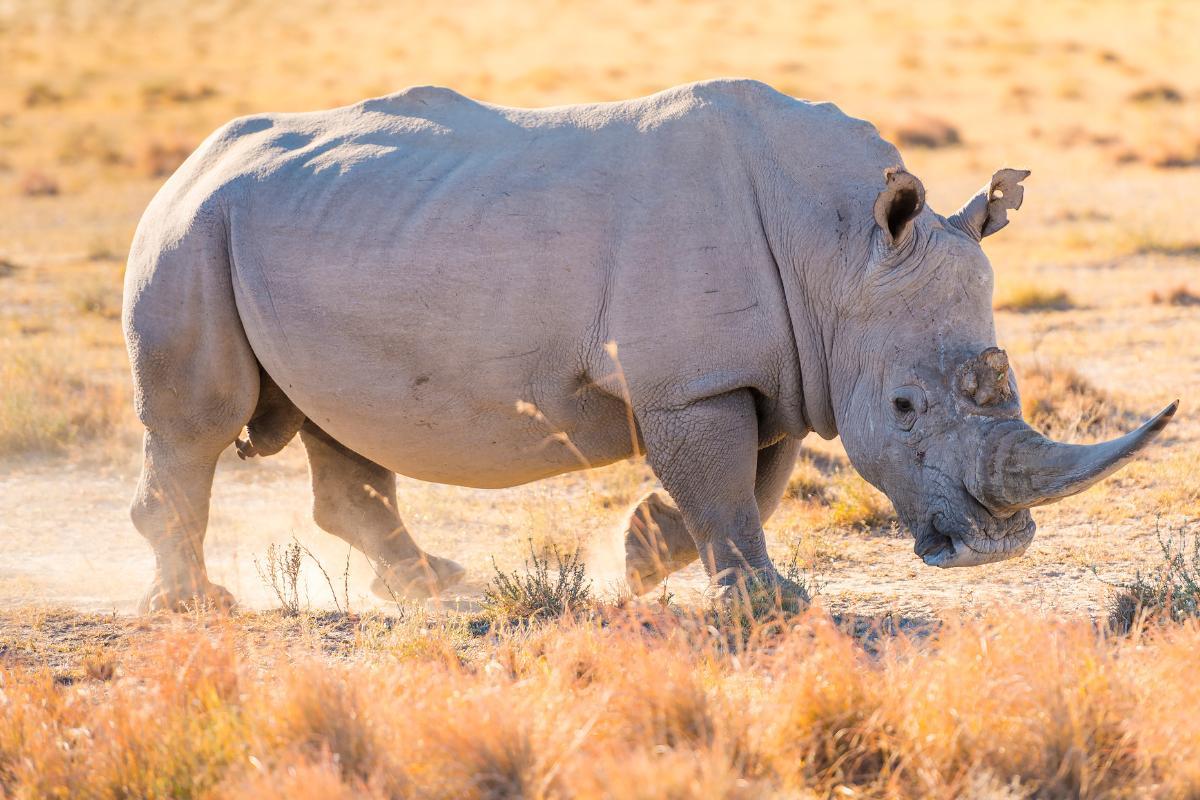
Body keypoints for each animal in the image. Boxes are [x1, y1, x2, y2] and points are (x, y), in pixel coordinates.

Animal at [122, 79, 1176, 611]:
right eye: (906, 408)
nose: (994, 552)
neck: (841, 249)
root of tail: (191, 161)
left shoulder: (766, 371)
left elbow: (749, 482)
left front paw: (638, 562)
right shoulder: (694, 380)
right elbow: (725, 486)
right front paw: (772, 607)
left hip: (290, 232)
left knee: (340, 425)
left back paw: (436, 588)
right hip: (191, 232)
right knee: (198, 425)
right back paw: (196, 609)